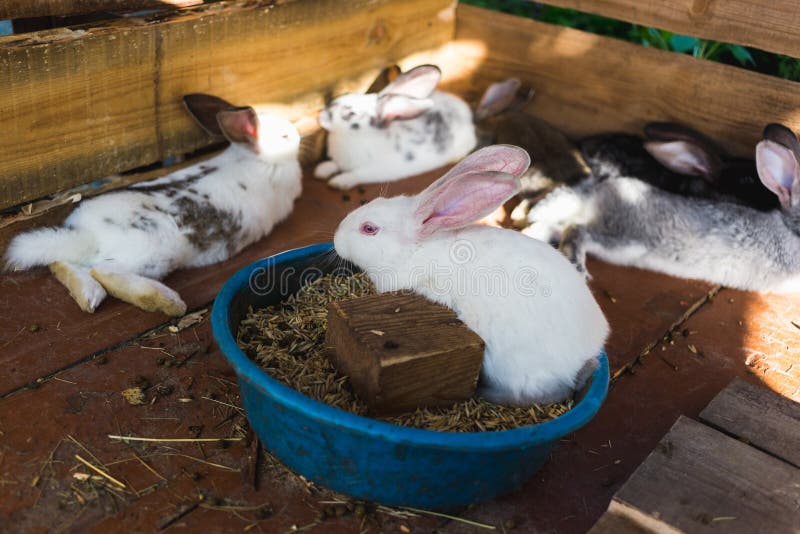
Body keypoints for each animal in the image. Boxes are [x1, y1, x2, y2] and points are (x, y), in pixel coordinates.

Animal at [5, 94, 302, 316]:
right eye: (284, 137)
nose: (298, 135)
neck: (255, 157)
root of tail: (87, 235)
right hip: (154, 255)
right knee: (105, 271)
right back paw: (168, 302)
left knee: (65, 265)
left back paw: (90, 296)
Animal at [314, 64, 477, 190]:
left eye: (351, 114)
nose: (321, 116)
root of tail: (467, 115)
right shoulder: (340, 161)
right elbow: (333, 164)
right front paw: (321, 170)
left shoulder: (373, 171)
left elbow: (355, 175)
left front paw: (338, 182)